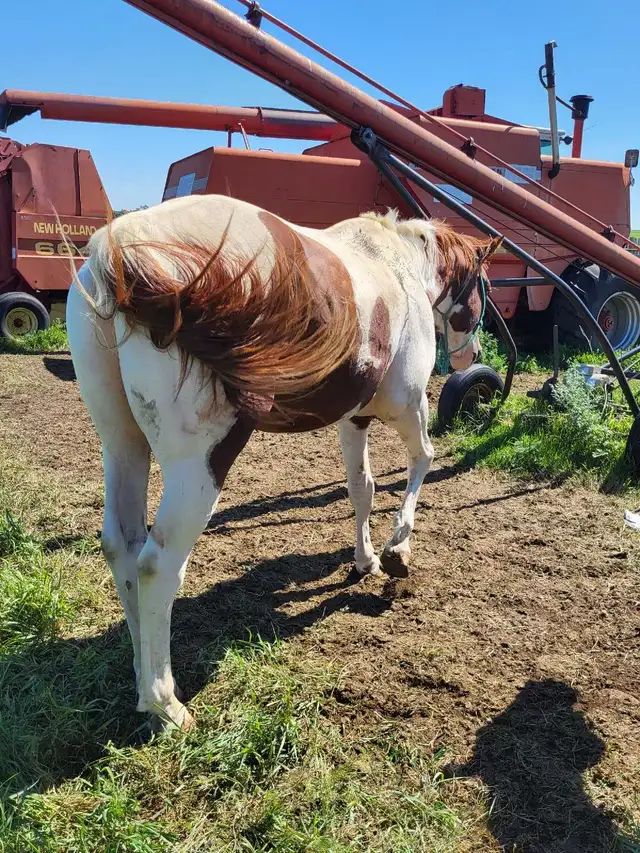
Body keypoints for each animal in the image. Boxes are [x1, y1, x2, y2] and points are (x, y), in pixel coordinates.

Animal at [66, 194, 501, 730]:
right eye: (484, 288)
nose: (470, 356)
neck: (392, 264)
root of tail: (120, 253)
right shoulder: (407, 405)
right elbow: (422, 461)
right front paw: (398, 550)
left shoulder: (353, 420)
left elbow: (362, 489)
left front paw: (366, 560)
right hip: (199, 467)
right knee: (156, 567)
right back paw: (165, 703)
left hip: (122, 445)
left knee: (121, 548)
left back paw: (140, 677)